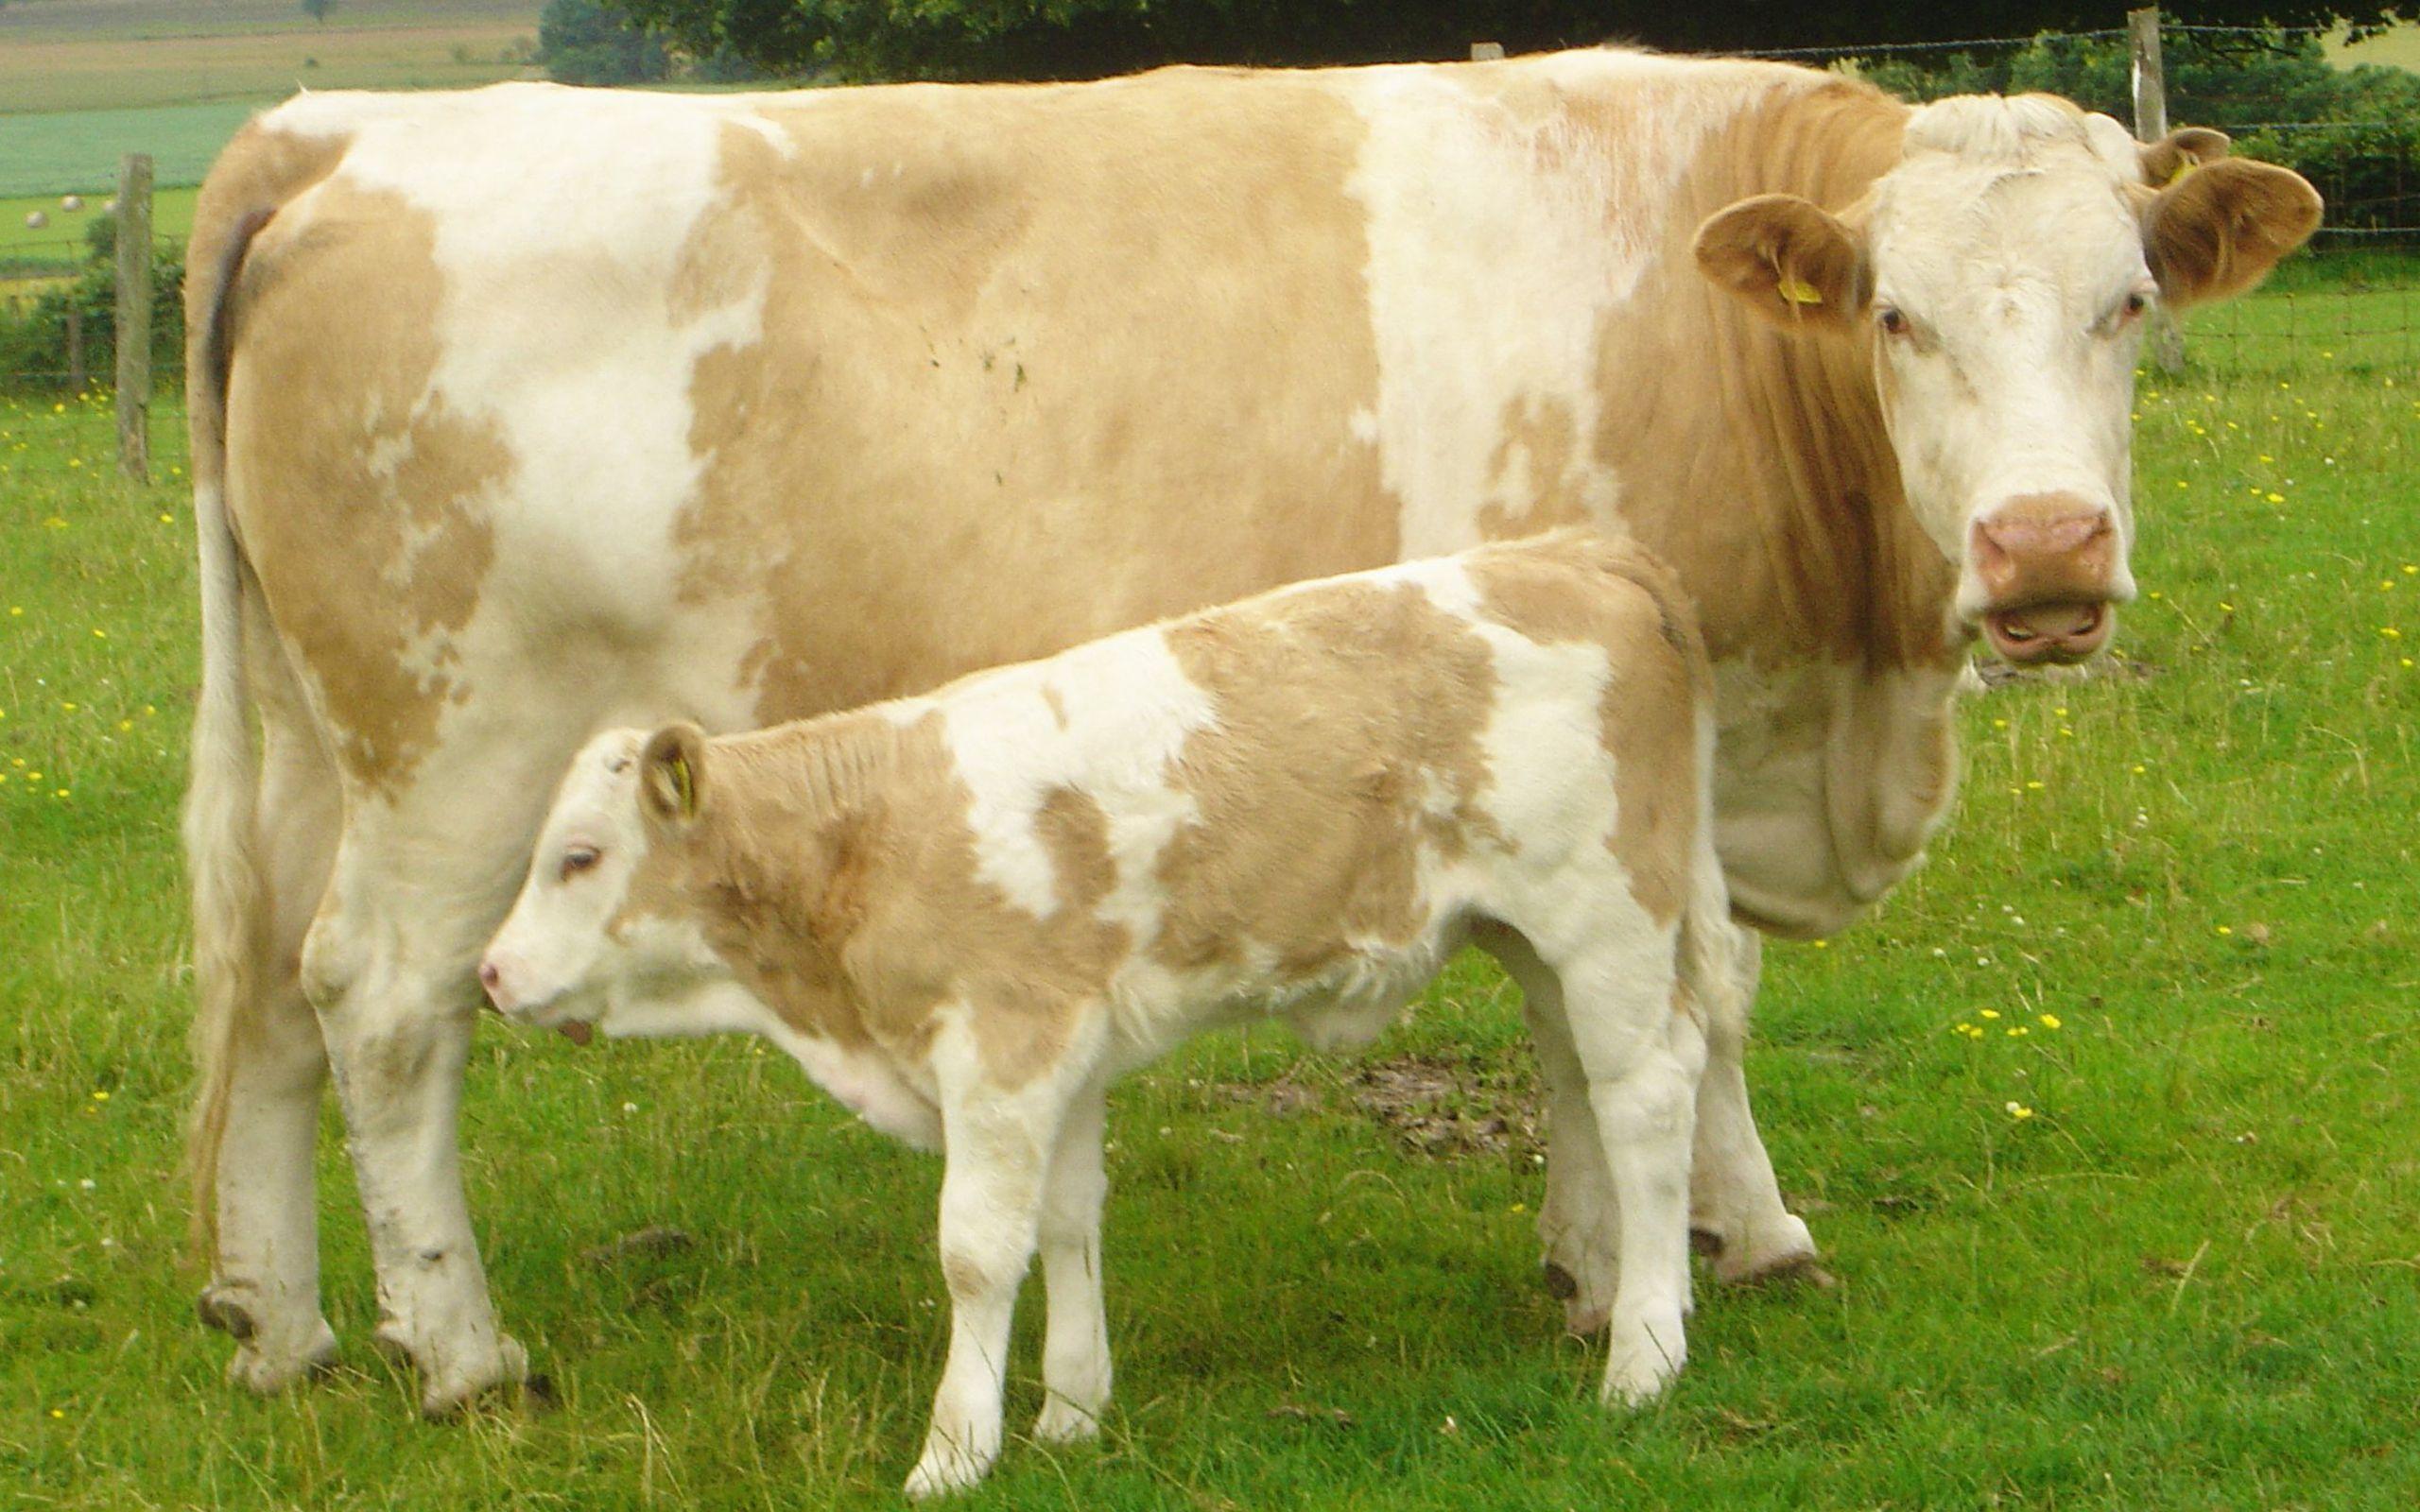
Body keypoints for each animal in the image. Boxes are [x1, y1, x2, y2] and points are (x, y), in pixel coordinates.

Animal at [477, 531, 1742, 1495]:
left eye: (580, 856)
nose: (490, 975)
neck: (870, 837)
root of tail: (1580, 550)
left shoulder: (1000, 1044)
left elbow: (978, 1251)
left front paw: (953, 1454)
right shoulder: (1063, 1052)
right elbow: (1067, 1218)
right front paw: (1071, 1412)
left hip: (1606, 915)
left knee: (1646, 1098)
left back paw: (1644, 1356)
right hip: (1534, 938)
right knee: (1587, 1078)